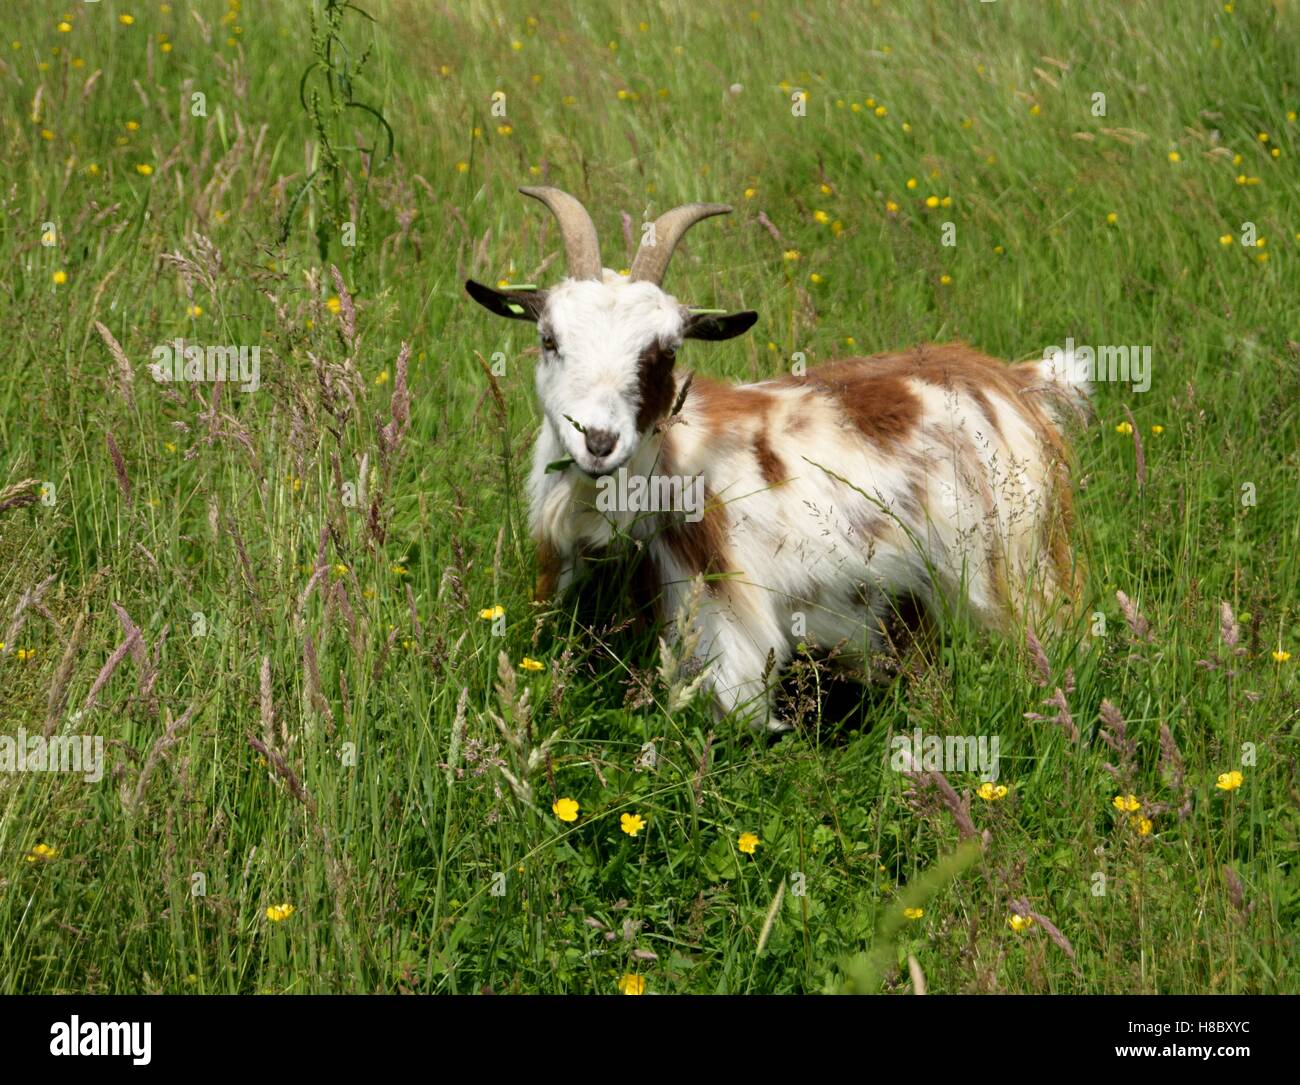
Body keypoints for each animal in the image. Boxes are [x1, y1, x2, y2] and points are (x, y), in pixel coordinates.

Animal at [466, 186, 1088, 730]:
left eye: (666, 351)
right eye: (549, 339)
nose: (598, 441)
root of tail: (1015, 381)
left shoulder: (725, 636)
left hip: (1016, 577)